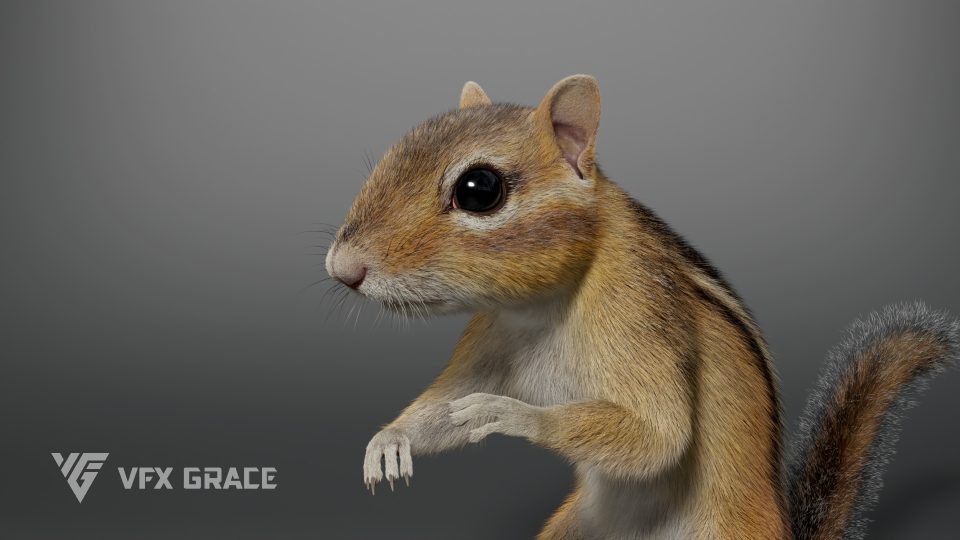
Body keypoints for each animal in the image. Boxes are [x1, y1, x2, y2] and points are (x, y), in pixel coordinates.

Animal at [325, 75, 958, 539]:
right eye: (392, 154)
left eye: (479, 189)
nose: (341, 268)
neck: (544, 308)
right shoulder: (490, 335)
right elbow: (441, 406)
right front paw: (389, 441)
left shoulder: (641, 314)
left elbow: (661, 432)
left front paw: (505, 413)